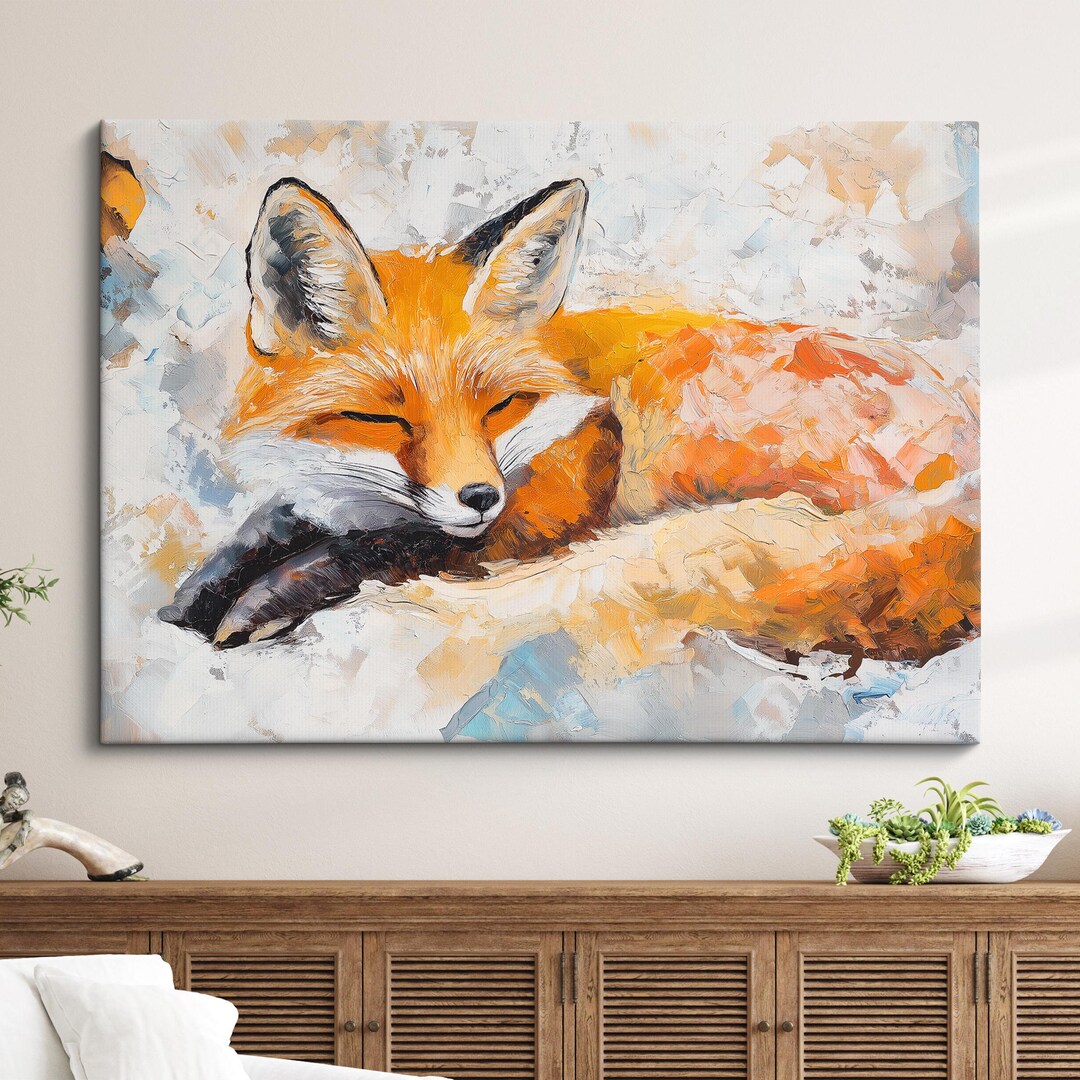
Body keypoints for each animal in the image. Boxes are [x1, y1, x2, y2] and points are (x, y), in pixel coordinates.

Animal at [160, 176, 979, 660]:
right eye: (382, 419)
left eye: (498, 404)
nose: (478, 496)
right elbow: (263, 530)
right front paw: (199, 595)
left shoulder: (554, 504)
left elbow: (388, 549)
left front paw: (265, 599)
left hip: (666, 408)